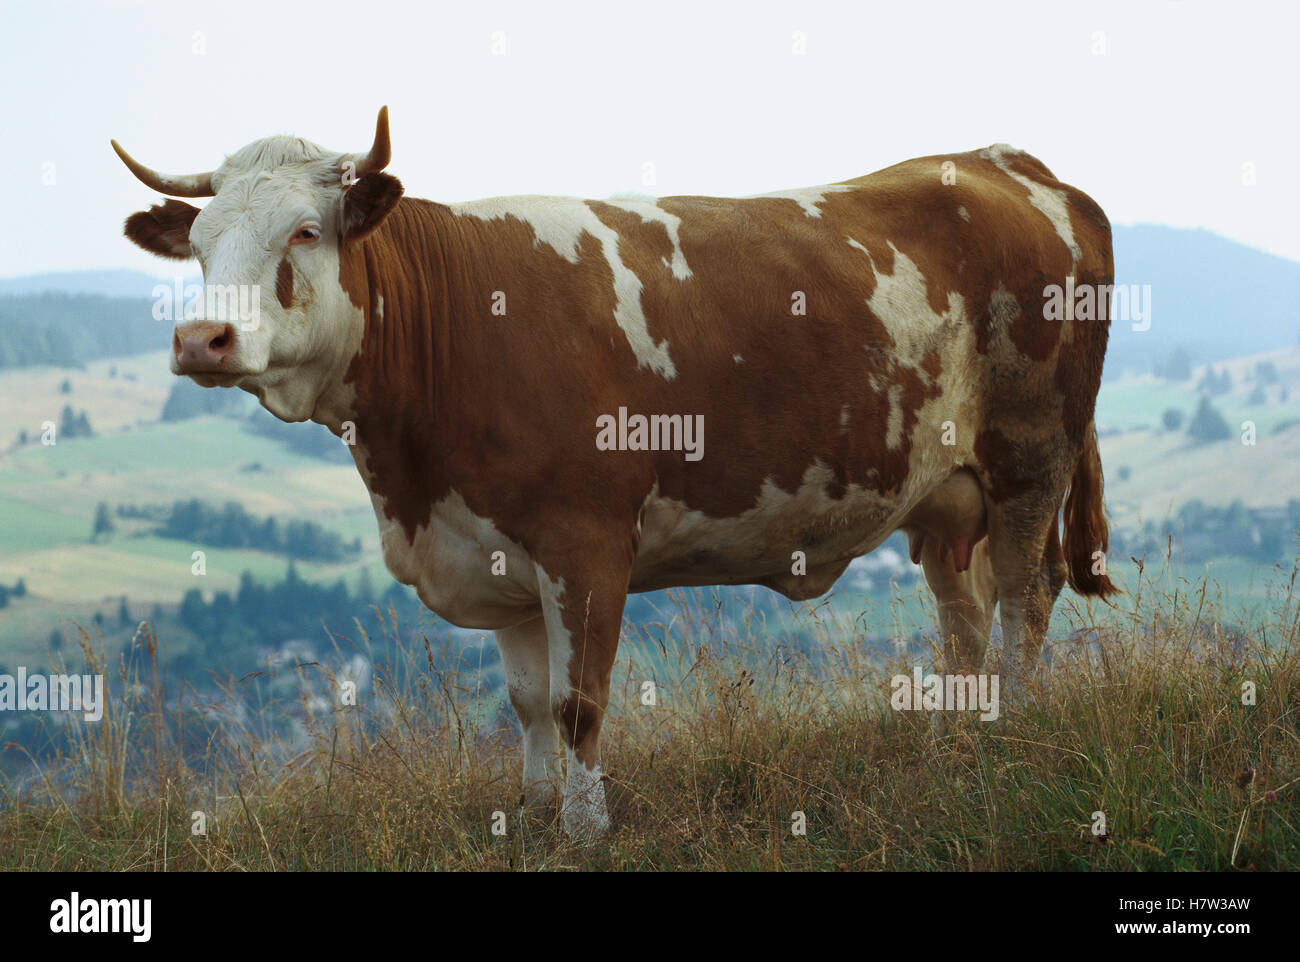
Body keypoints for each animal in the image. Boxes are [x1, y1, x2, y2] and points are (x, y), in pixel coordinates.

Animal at [114, 107, 1116, 839]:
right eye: (197, 245)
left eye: (304, 232)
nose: (202, 339)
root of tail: (1006, 164)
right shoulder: (493, 552)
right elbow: (525, 702)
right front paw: (534, 816)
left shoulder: (585, 544)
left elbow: (576, 702)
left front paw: (588, 830)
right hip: (946, 495)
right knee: (964, 618)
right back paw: (956, 741)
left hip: (1031, 457)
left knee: (1024, 597)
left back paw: (1015, 733)